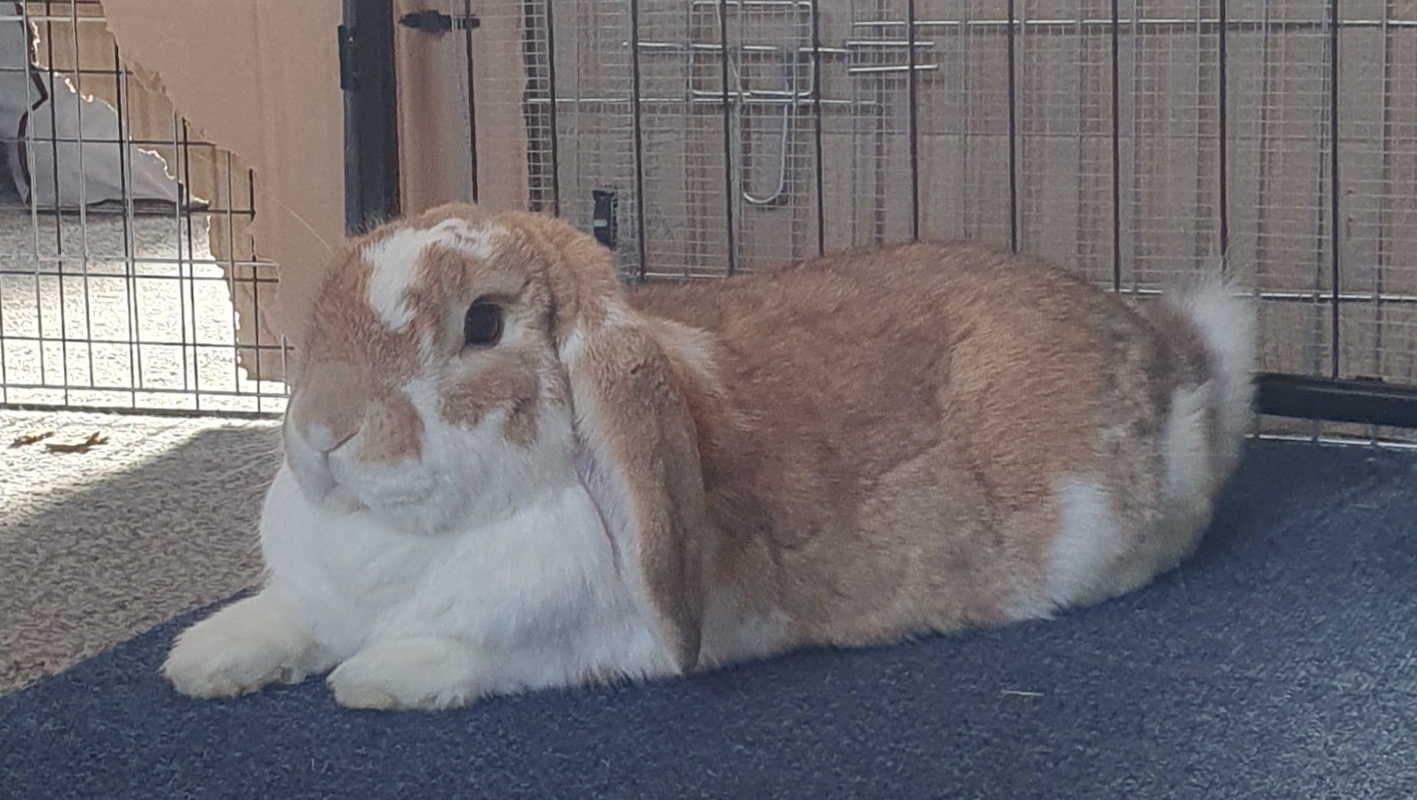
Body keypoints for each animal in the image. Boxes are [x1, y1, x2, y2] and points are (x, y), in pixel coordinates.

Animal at [161, 202, 1257, 711]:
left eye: (482, 323)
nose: (323, 430)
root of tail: (1176, 359)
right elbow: (284, 620)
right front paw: (203, 660)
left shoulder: (580, 639)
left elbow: (472, 651)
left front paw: (379, 677)